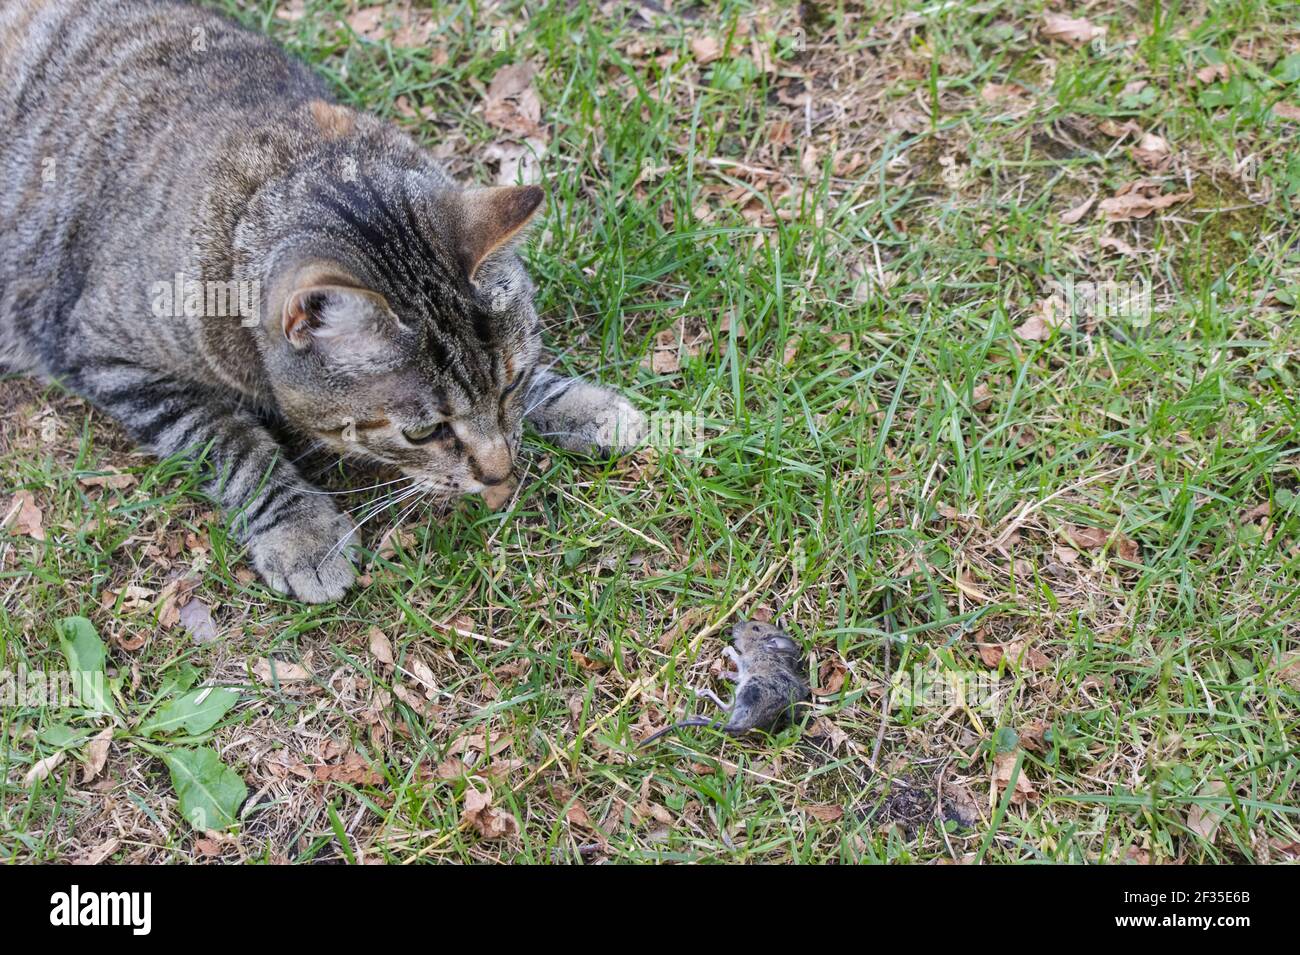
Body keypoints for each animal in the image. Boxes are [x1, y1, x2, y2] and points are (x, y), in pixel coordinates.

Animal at [0, 0, 647, 605]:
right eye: (424, 433)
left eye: (512, 384)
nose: (500, 474)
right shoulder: (108, 356)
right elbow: (230, 443)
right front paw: (303, 532)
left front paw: (582, 405)